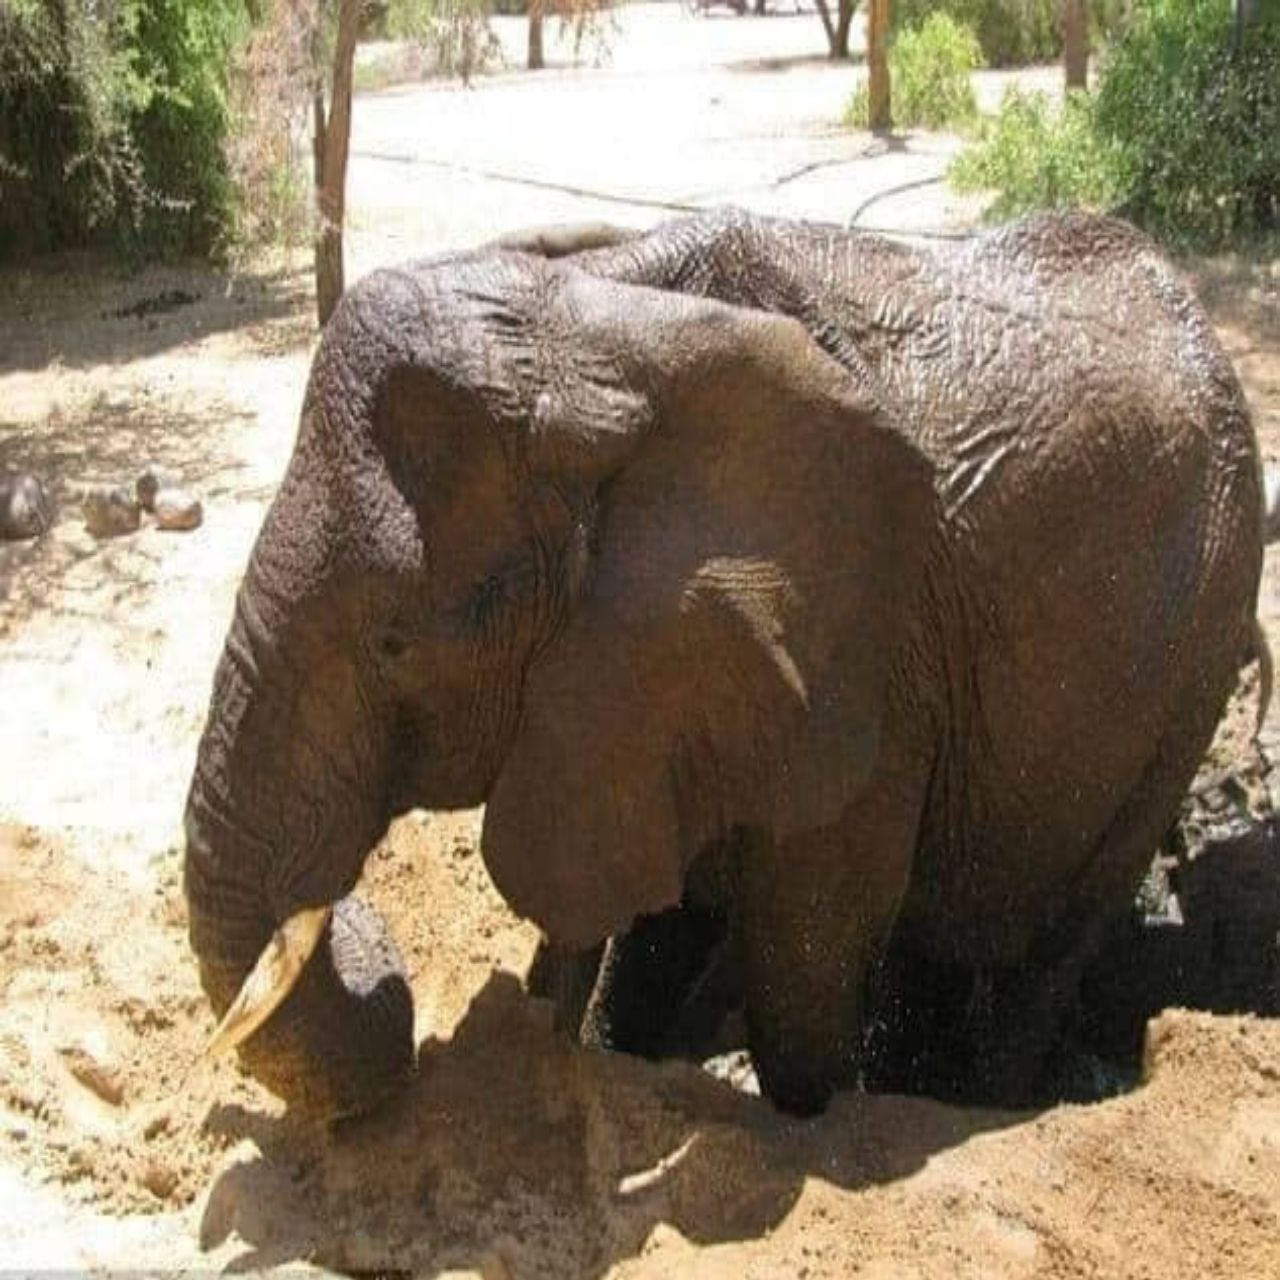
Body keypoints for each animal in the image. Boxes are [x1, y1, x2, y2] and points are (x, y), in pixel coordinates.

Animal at [183, 208, 1264, 1121]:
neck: (597, 326)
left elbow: (806, 964)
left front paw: (799, 1108)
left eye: (394, 643)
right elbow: (661, 933)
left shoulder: (869, 650)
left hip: (1202, 636)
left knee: (1049, 938)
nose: (374, 952)